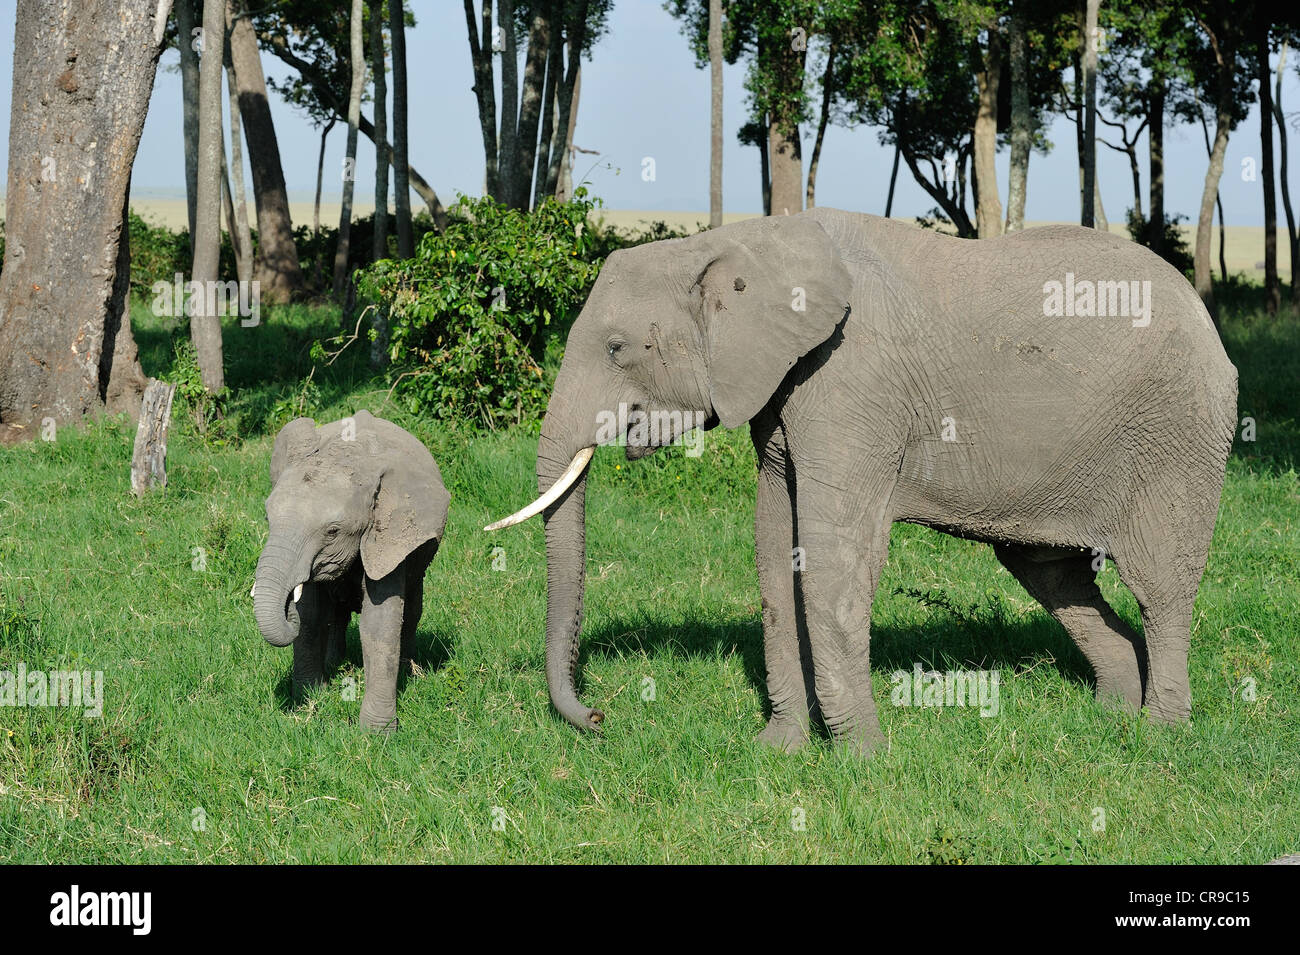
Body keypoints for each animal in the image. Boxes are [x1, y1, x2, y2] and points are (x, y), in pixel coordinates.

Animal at [253, 410, 449, 733]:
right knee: (336, 615)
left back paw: (409, 671)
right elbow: (311, 616)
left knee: (412, 611)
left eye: (333, 531)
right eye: (268, 518)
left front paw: (377, 733)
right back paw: (335, 664)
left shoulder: (388, 538)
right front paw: (311, 700)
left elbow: (380, 623)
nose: (287, 605)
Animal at [486, 207, 1238, 755]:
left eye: (618, 349)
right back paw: (1111, 713)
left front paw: (862, 759)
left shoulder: (850, 382)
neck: (743, 239)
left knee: (1162, 583)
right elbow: (774, 555)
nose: (599, 718)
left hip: (1179, 433)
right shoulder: (781, 391)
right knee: (1053, 574)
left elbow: (832, 560)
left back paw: (1159, 734)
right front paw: (779, 750)